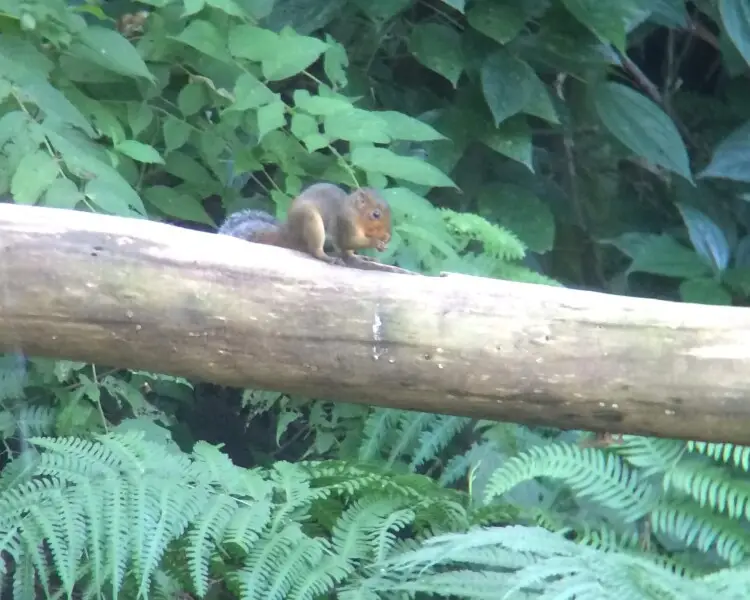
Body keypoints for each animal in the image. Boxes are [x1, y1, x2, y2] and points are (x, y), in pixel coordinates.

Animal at [218, 183, 392, 266]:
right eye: (375, 214)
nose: (388, 235)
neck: (355, 212)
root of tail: (288, 233)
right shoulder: (345, 222)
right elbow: (349, 241)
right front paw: (377, 242)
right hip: (311, 221)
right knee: (315, 250)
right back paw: (328, 258)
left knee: (347, 254)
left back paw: (360, 257)